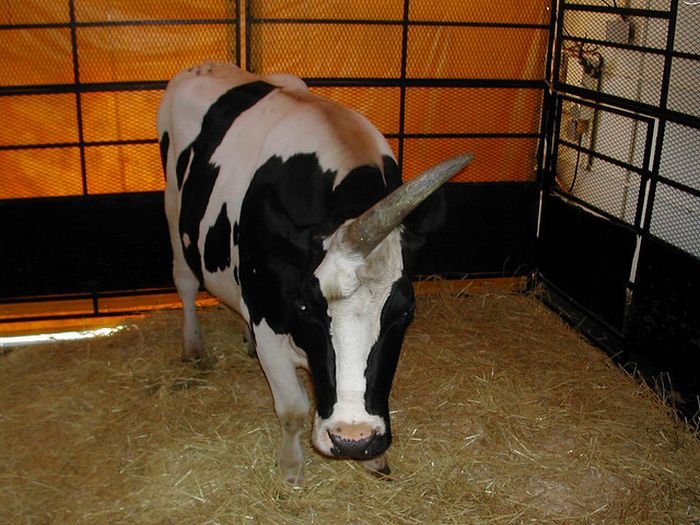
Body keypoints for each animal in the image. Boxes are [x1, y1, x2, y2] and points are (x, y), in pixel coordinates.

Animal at [157, 62, 472, 484]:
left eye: (406, 312)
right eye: (305, 308)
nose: (353, 439)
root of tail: (204, 66)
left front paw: (373, 458)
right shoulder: (269, 326)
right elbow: (292, 408)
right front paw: (291, 467)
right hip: (174, 209)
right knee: (186, 282)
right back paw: (193, 346)